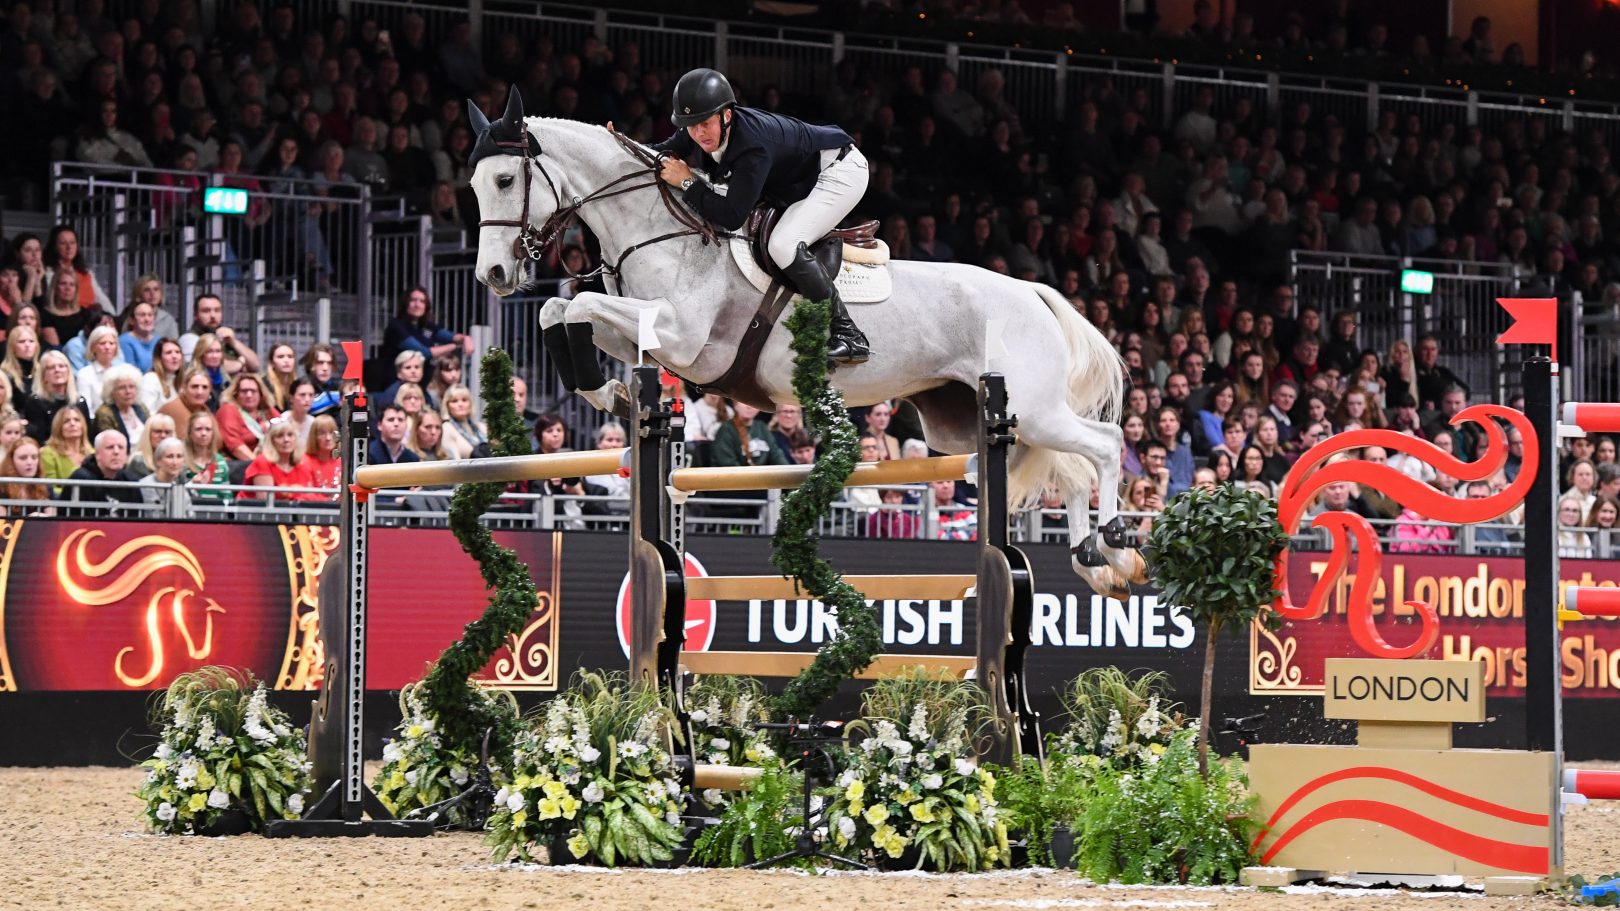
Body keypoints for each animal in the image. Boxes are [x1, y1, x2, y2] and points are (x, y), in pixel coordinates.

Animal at [465, 89, 1144, 597]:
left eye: (503, 178)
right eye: (472, 187)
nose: (493, 276)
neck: (659, 231)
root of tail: (1031, 292)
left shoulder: (683, 339)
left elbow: (576, 303)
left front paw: (616, 394)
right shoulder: (647, 335)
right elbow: (558, 308)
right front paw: (615, 396)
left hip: (1028, 405)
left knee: (1103, 446)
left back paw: (1114, 541)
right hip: (964, 423)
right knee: (1073, 468)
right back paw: (1094, 561)